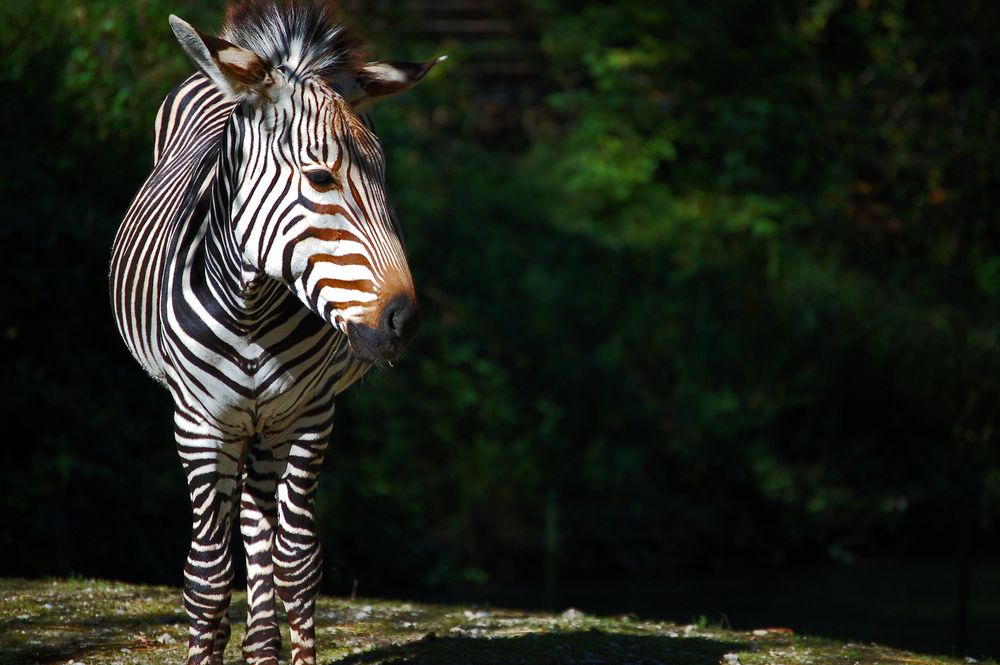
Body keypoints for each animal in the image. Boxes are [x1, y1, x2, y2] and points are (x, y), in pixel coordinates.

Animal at [108, 2, 443, 663]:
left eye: (385, 179)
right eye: (320, 180)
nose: (404, 322)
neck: (252, 310)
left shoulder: (309, 413)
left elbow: (296, 560)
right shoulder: (200, 423)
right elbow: (207, 574)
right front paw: (206, 646)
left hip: (269, 422)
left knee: (260, 521)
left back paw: (261, 643)